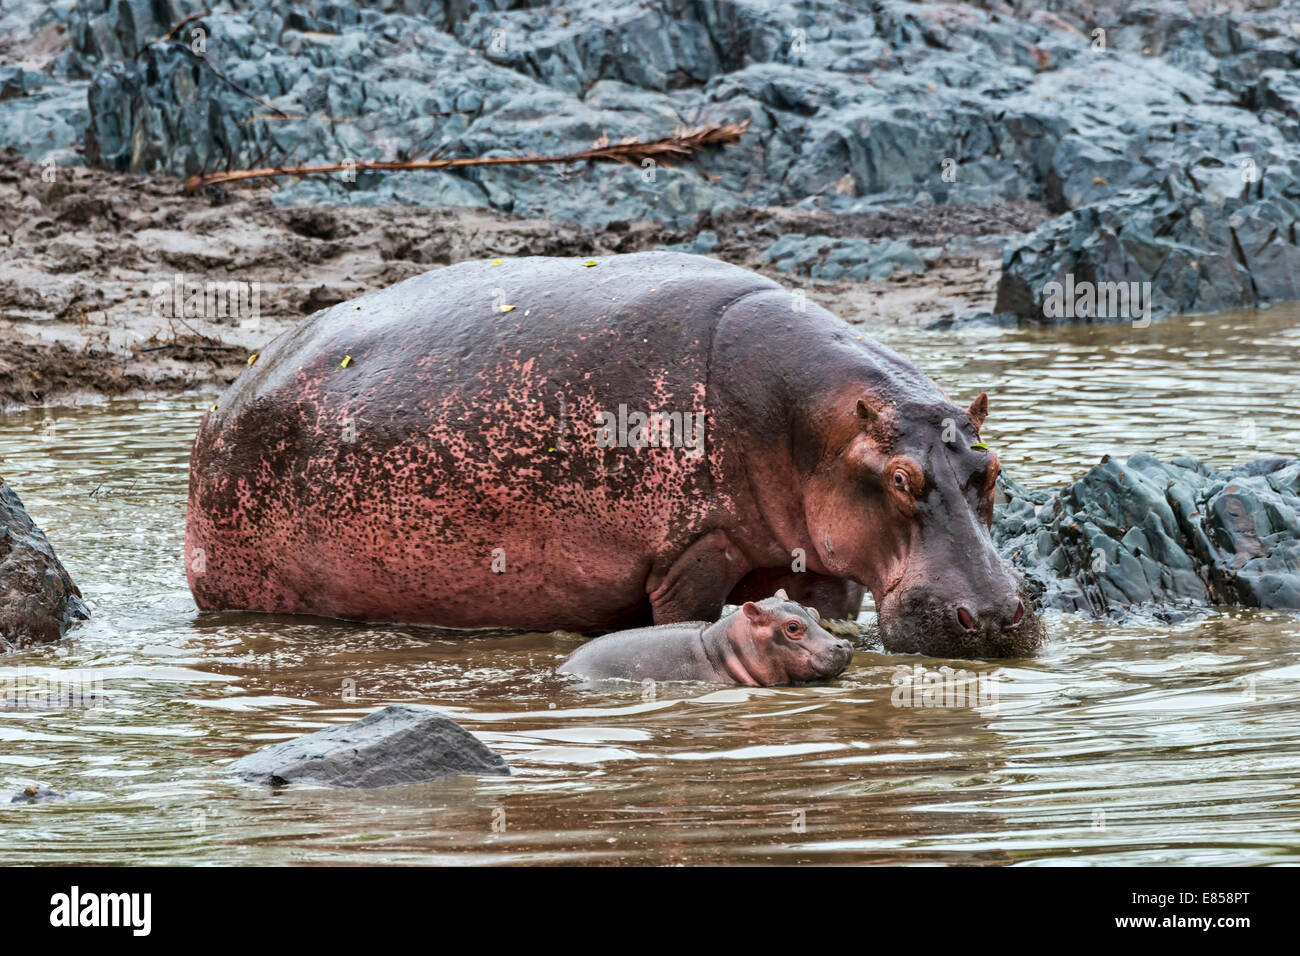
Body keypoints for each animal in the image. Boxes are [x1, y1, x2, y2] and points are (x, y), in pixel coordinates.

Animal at [186, 251, 1042, 657]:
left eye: (992, 470)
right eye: (900, 477)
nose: (998, 615)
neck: (821, 428)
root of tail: (222, 407)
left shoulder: (821, 563)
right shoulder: (693, 549)